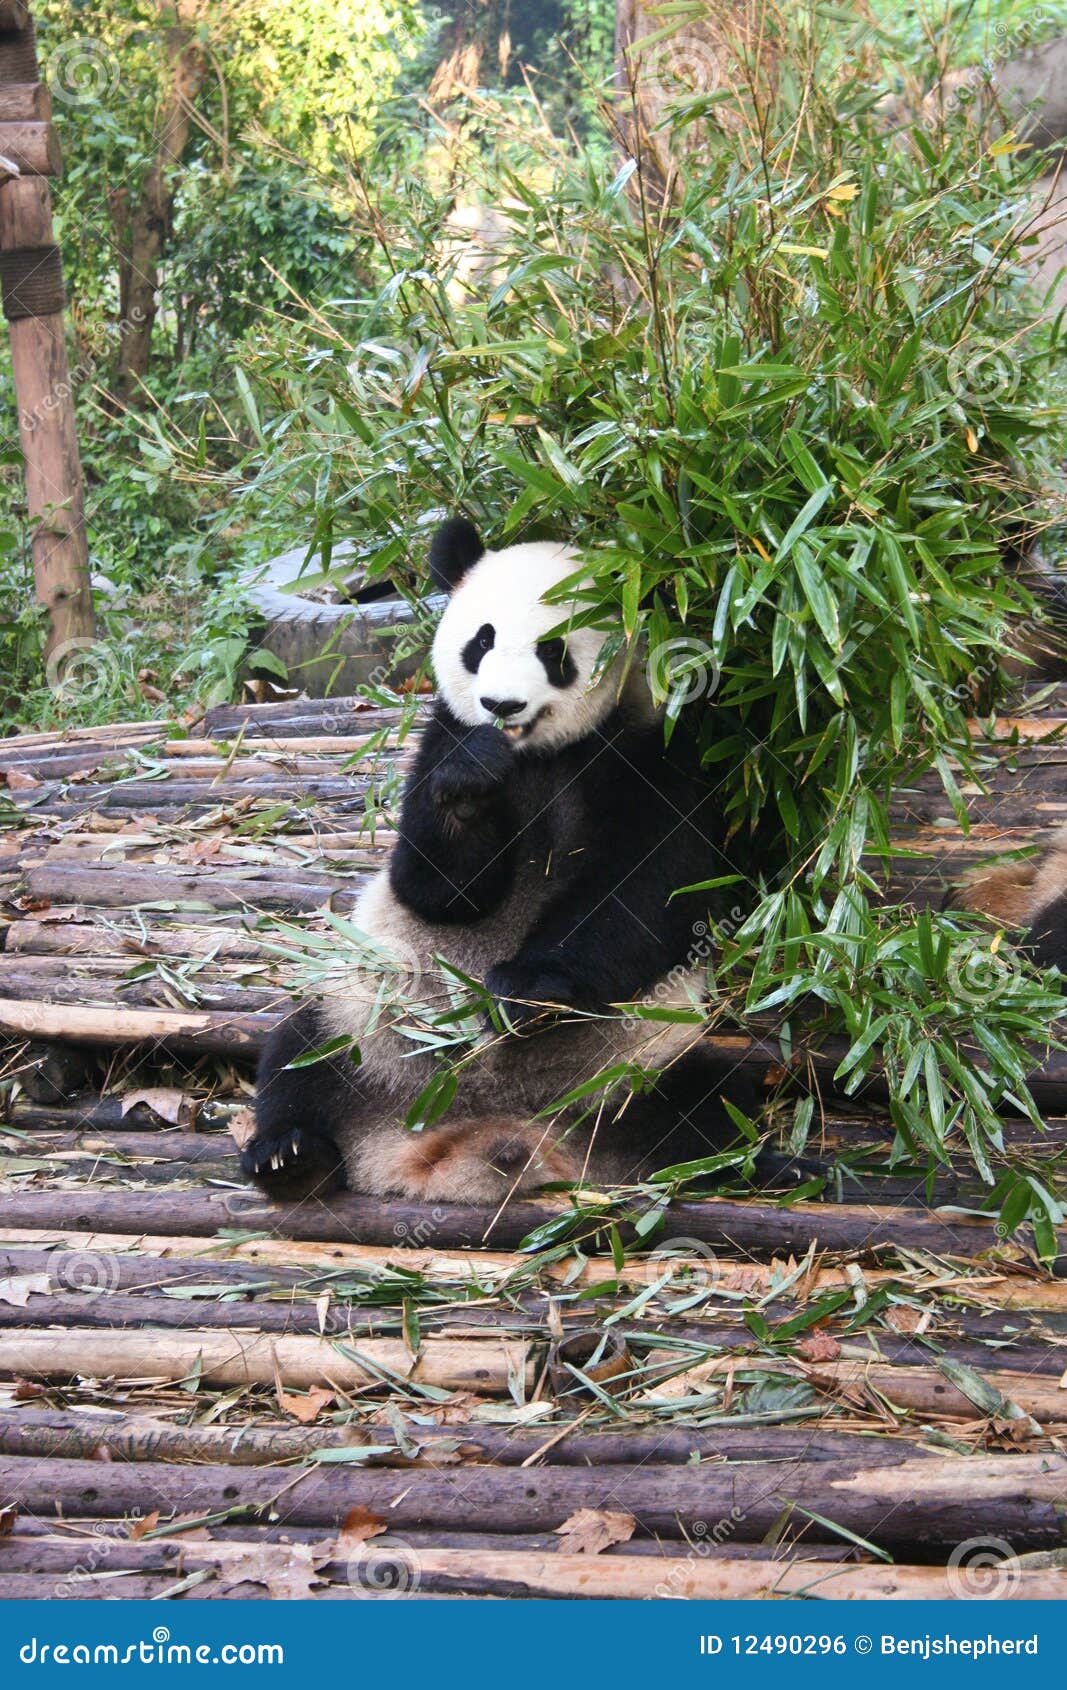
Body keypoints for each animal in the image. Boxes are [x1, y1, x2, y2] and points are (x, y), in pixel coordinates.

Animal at [242, 517, 757, 1205]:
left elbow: (654, 889)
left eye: (554, 652)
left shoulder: (654, 751)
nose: (501, 706)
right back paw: (292, 1157)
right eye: (480, 640)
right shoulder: (436, 742)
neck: (536, 753)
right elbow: (433, 887)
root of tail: (470, 1136)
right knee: (300, 1056)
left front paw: (525, 991)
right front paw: (470, 786)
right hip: (366, 1023)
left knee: (714, 1099)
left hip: (641, 1057)